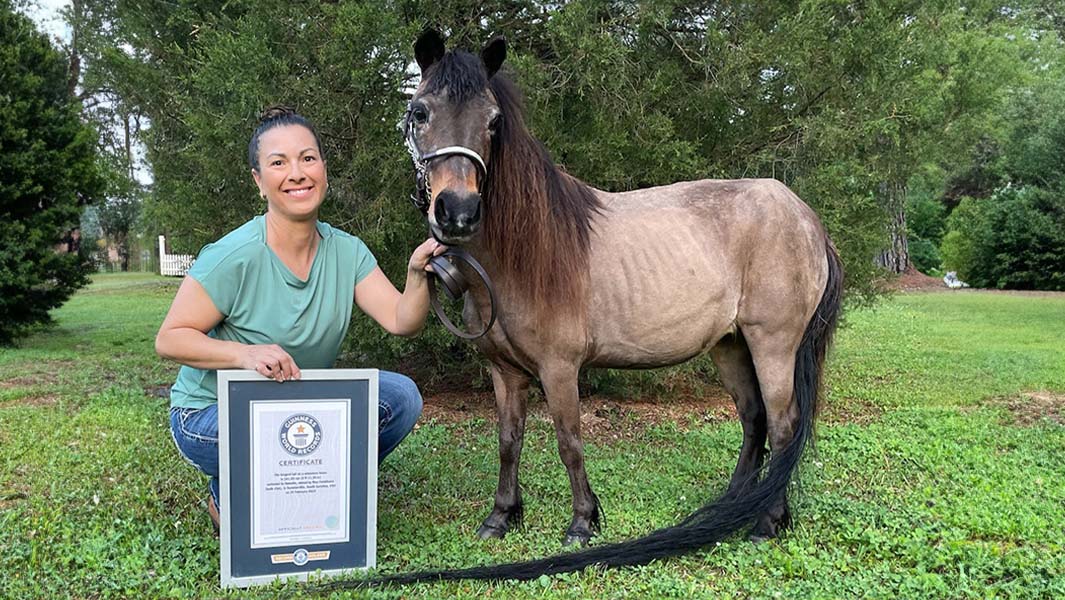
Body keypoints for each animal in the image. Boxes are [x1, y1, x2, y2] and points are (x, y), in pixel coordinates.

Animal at [325, 31, 843, 587]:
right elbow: (509, 440)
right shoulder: (505, 371)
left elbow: (568, 441)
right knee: (753, 420)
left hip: (773, 344)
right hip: (729, 345)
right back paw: (732, 507)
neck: (522, 255)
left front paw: (582, 524)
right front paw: (501, 518)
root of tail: (807, 218)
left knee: (784, 425)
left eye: (493, 121)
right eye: (419, 112)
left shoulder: (560, 368)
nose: (458, 213)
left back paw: (766, 523)